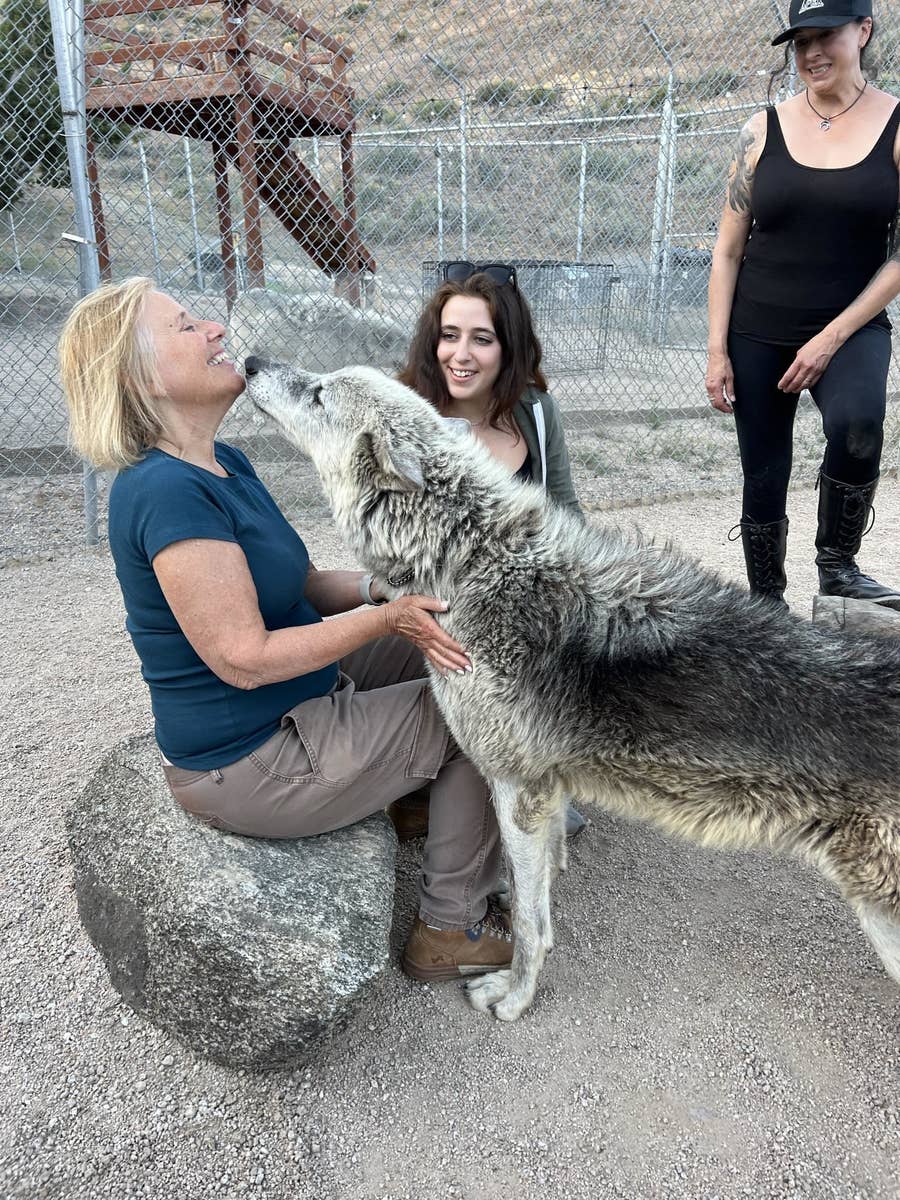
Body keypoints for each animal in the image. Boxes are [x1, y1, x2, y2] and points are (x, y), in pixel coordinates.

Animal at [244, 358, 900, 1023]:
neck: (469, 559)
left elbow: (532, 924)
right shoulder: (545, 793)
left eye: (319, 392)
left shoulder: (516, 786)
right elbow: (539, 884)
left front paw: (513, 996)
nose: (251, 363)